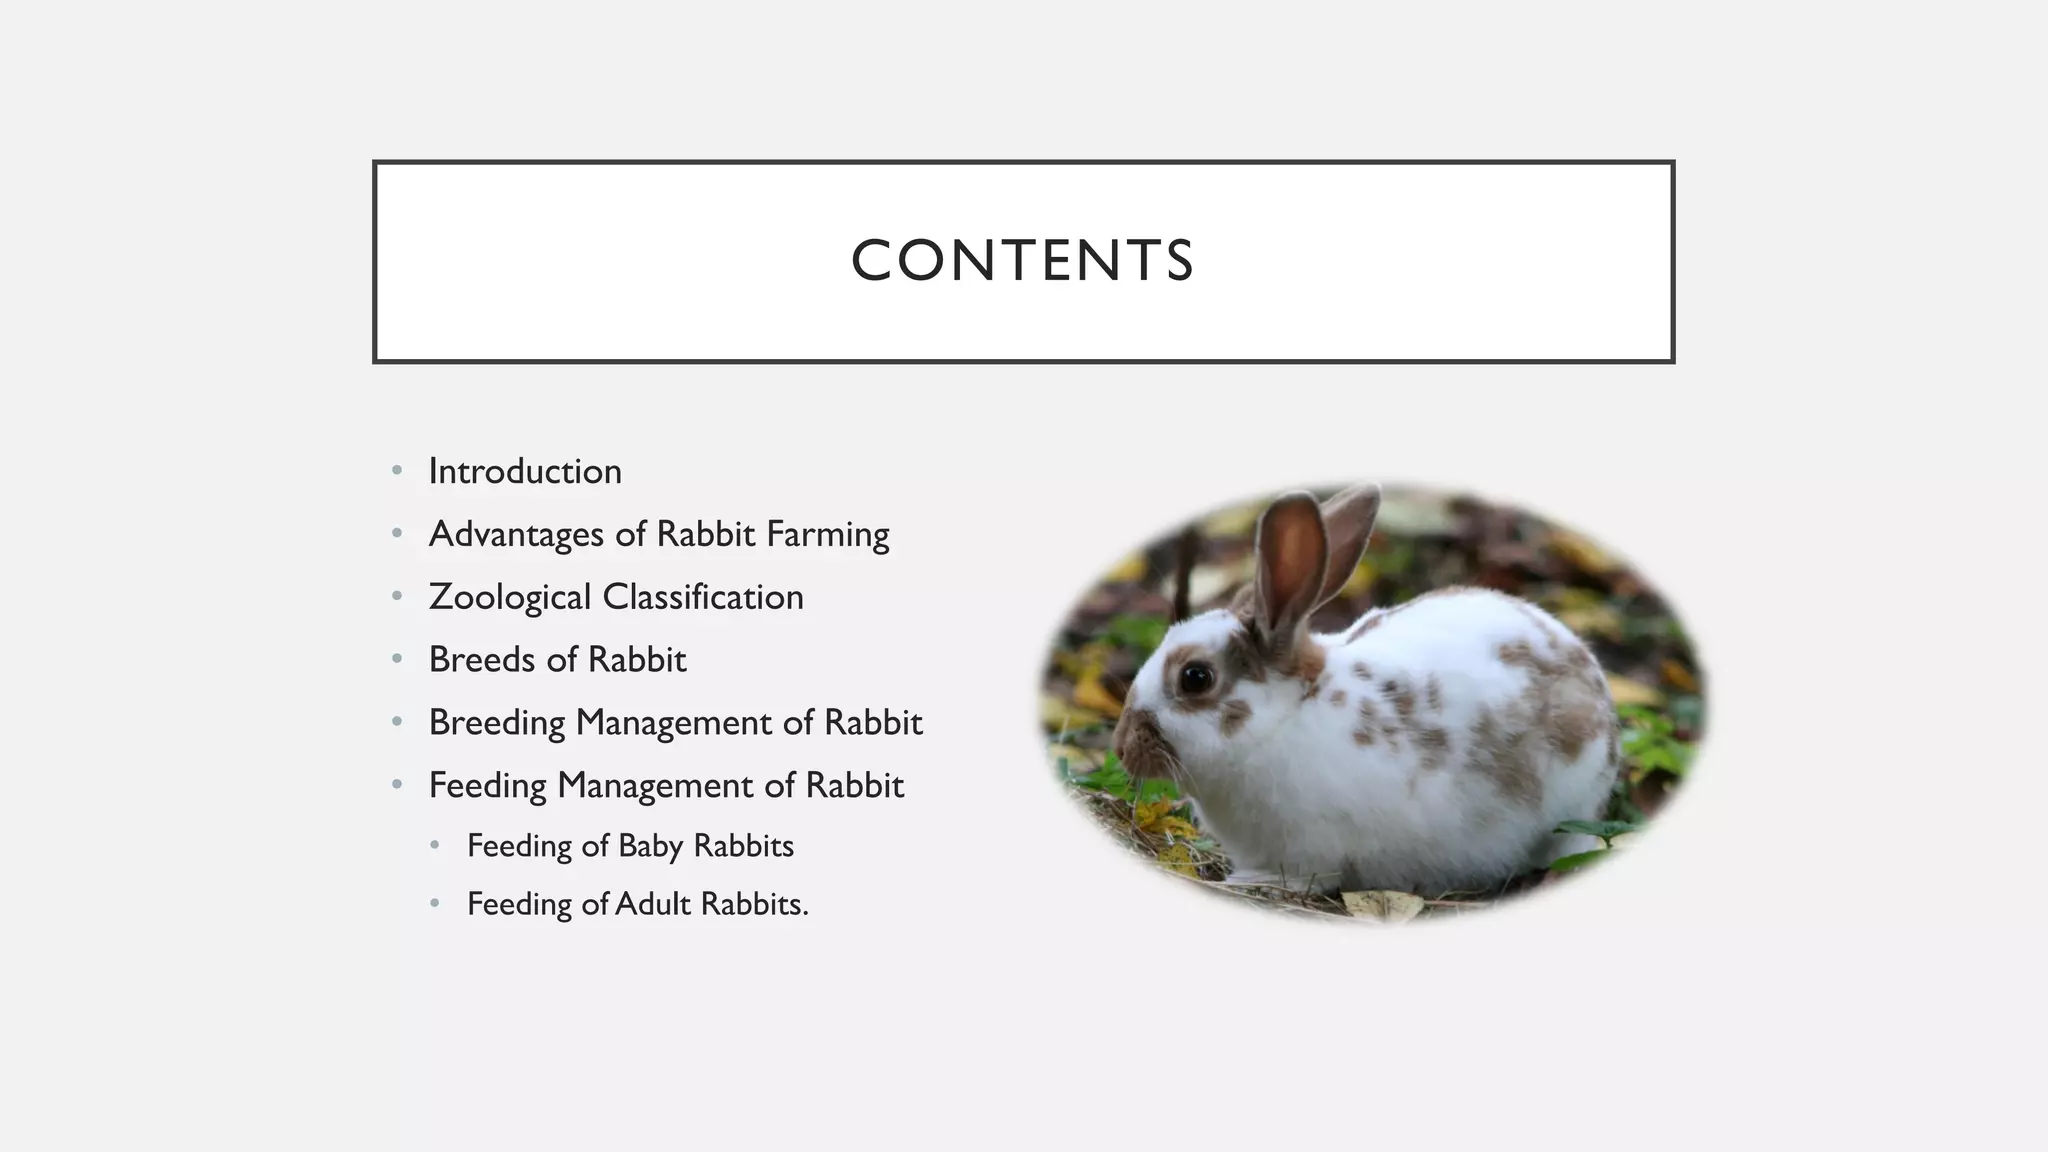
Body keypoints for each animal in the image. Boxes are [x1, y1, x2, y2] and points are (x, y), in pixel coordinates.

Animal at [1110, 485, 1621, 897]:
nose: (1121, 747)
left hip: (1570, 808)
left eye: (1195, 677)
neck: (1286, 719)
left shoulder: (1313, 849)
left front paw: (1253, 881)